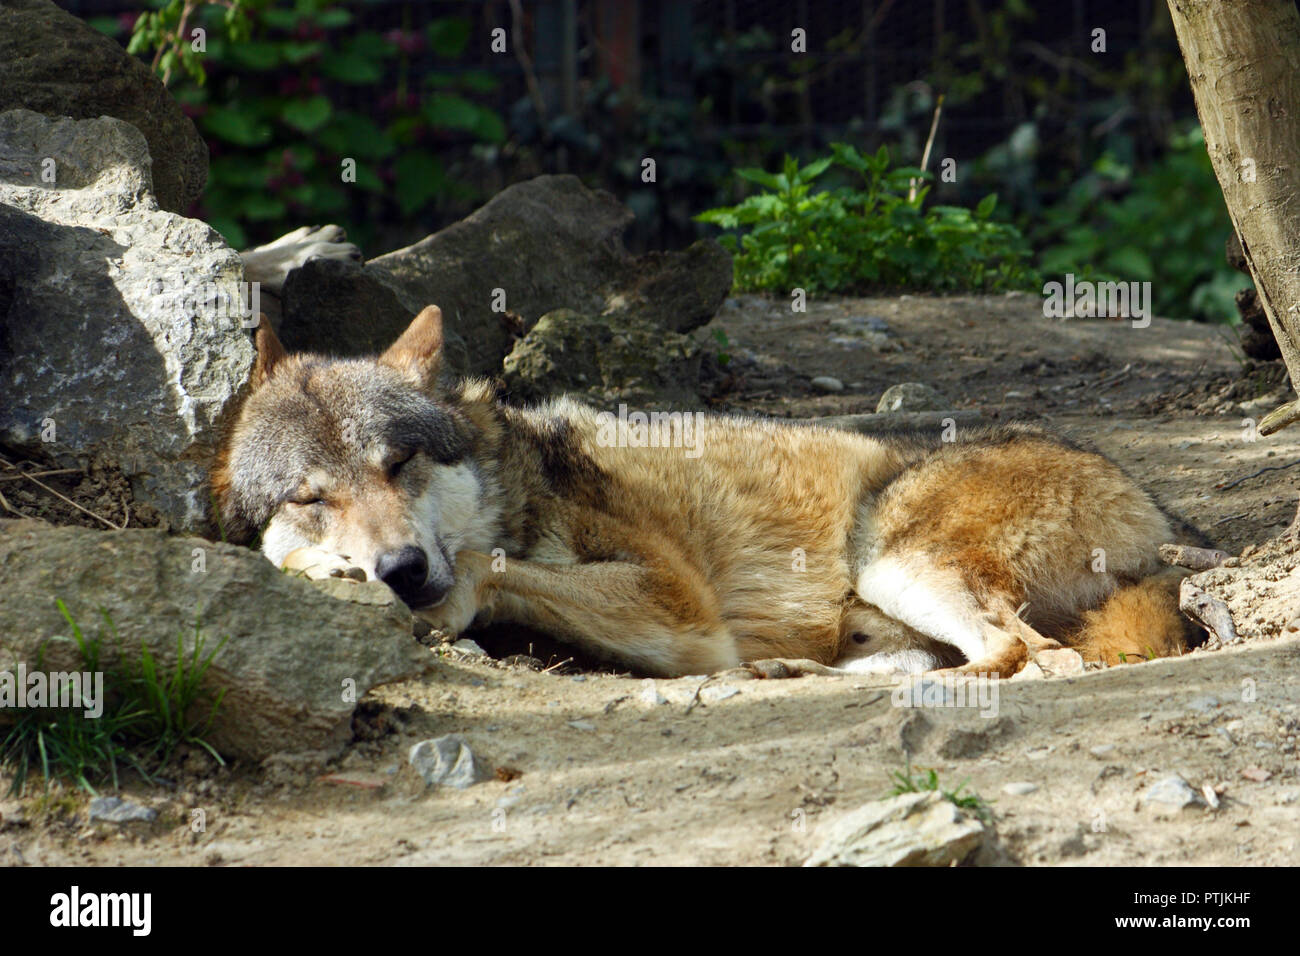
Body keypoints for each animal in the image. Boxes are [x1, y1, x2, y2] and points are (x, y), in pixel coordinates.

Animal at [212, 305, 1205, 678]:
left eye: (398, 464)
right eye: (309, 500)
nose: (402, 568)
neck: (520, 482)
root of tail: (1155, 509)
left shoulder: (680, 605)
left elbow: (490, 568)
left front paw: (446, 600)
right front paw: (331, 575)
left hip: (894, 563)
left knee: (1024, 655)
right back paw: (785, 669)